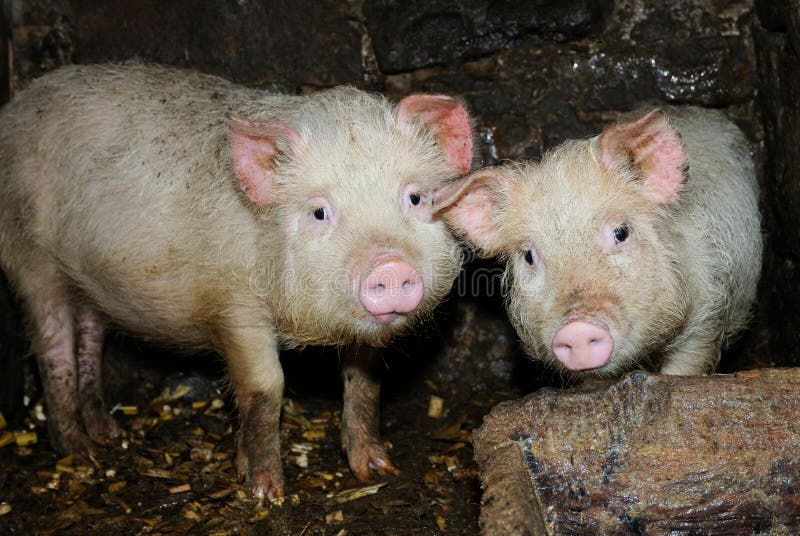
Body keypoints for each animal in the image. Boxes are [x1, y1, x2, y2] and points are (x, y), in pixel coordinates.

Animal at [0, 63, 475, 500]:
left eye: (414, 197)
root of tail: (16, 106)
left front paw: (377, 470)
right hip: (28, 253)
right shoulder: (234, 306)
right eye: (319, 212)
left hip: (89, 279)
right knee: (52, 343)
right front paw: (266, 493)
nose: (389, 266)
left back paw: (107, 433)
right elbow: (265, 387)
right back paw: (80, 451)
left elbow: (364, 383)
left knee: (90, 335)